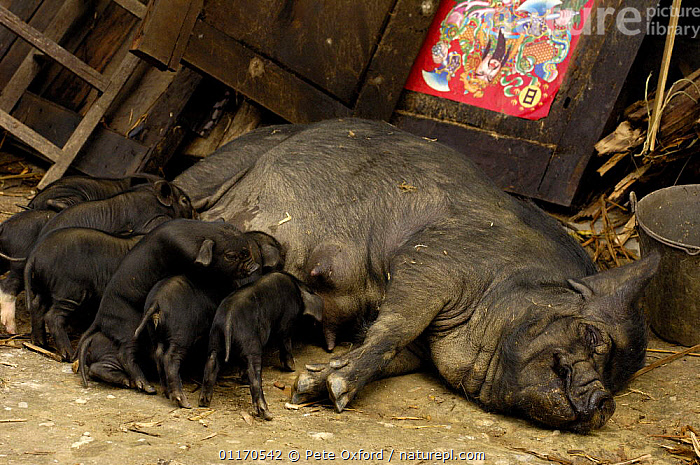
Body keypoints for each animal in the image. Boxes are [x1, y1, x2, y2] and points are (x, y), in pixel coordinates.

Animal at [23, 228, 143, 360]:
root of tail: (34, 255)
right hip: (70, 290)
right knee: (52, 316)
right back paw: (69, 355)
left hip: (44, 287)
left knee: (36, 306)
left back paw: (41, 344)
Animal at [76, 219, 266, 393]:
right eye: (230, 256)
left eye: (246, 248)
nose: (254, 266)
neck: (197, 236)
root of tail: (99, 318)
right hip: (126, 327)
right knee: (125, 354)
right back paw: (146, 387)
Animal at [132, 230, 284, 408]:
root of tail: (156, 302)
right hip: (181, 334)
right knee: (169, 358)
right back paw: (183, 401)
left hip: (155, 333)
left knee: (157, 354)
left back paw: (166, 393)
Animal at [199, 272, 323, 419]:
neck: (297, 287)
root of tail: (228, 319)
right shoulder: (287, 321)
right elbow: (285, 340)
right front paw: (292, 368)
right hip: (252, 346)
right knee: (255, 377)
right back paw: (268, 414)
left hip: (215, 339)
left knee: (211, 363)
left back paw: (204, 402)